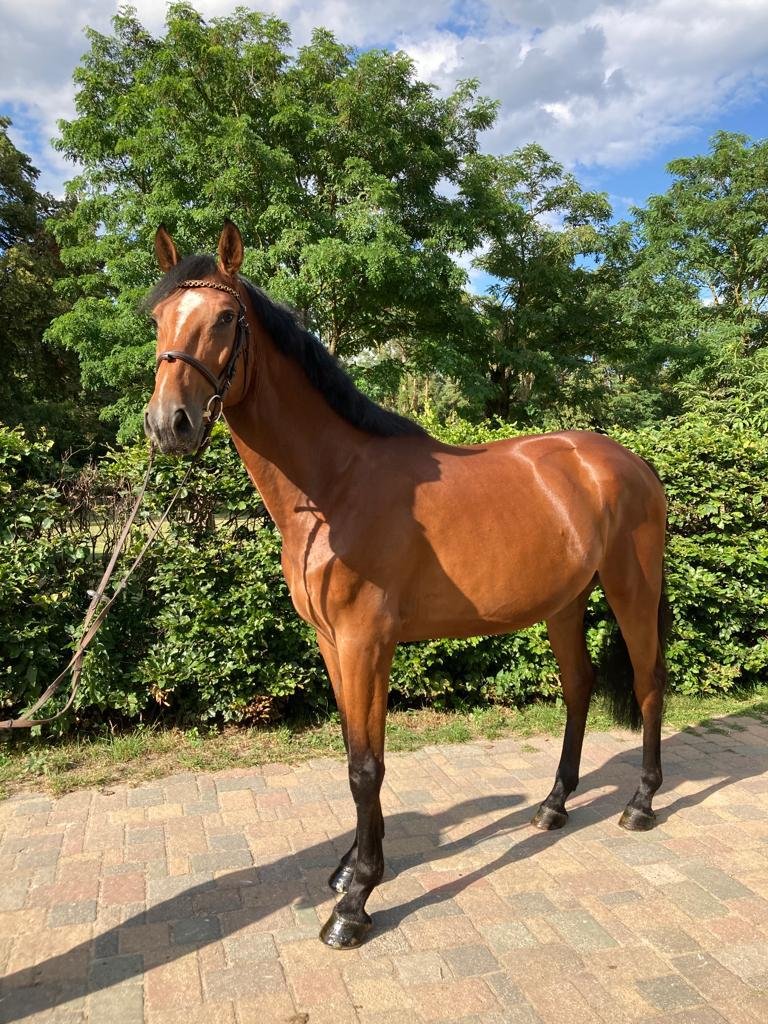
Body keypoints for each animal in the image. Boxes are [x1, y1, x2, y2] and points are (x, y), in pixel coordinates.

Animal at [144, 221, 668, 949]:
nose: (170, 424)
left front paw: (355, 901)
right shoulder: (334, 643)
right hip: (564, 604)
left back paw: (641, 803)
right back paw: (554, 805)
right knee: (579, 689)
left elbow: (367, 766)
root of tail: (628, 461)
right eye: (158, 317)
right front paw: (350, 869)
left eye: (225, 318)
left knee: (647, 684)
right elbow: (355, 751)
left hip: (630, 591)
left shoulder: (367, 640)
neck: (336, 486)